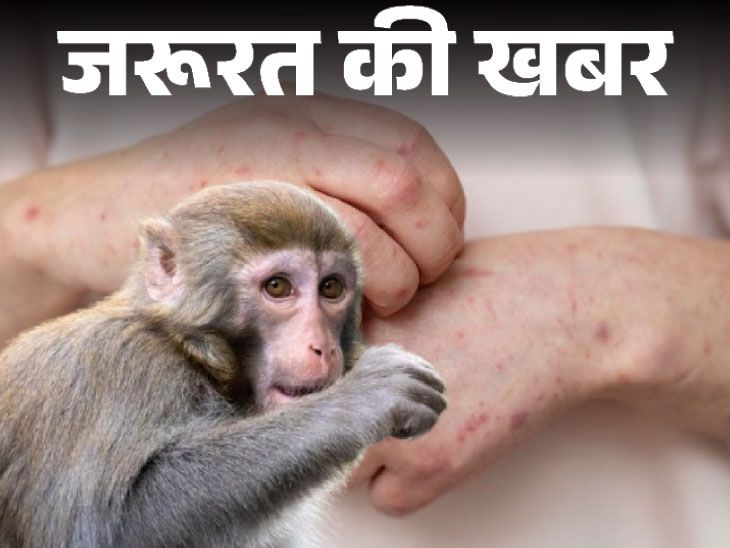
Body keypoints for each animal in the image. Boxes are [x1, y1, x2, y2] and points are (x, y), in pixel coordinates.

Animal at [0, 180, 447, 548]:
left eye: (331, 288)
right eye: (277, 287)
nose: (322, 346)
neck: (188, 349)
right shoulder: (120, 370)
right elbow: (109, 529)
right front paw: (364, 398)